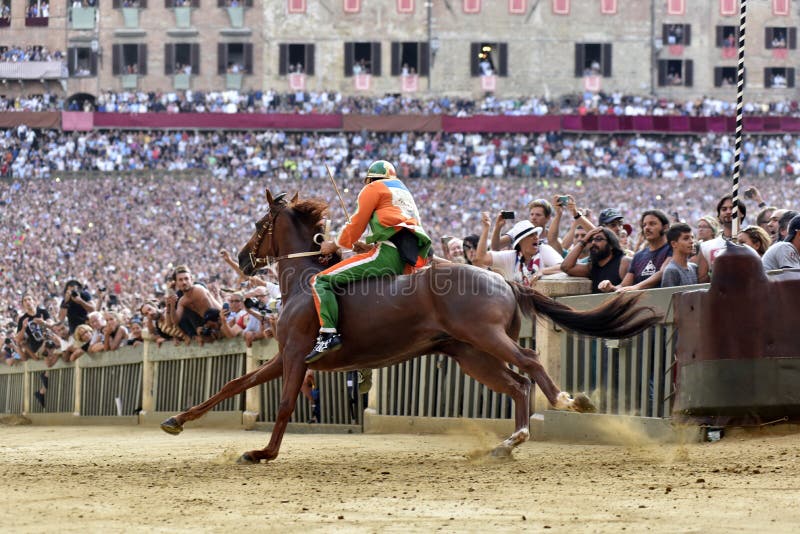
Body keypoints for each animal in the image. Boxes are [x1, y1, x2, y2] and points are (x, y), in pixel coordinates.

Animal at [161, 190, 662, 463]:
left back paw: (564, 400)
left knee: (532, 361)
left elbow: (283, 406)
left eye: (260, 222)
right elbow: (233, 384)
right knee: (517, 384)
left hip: (485, 337)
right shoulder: (284, 356)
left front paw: (263, 452)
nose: (243, 259)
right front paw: (177, 420)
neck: (306, 282)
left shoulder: (299, 355)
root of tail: (503, 277)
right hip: (469, 353)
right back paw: (509, 442)